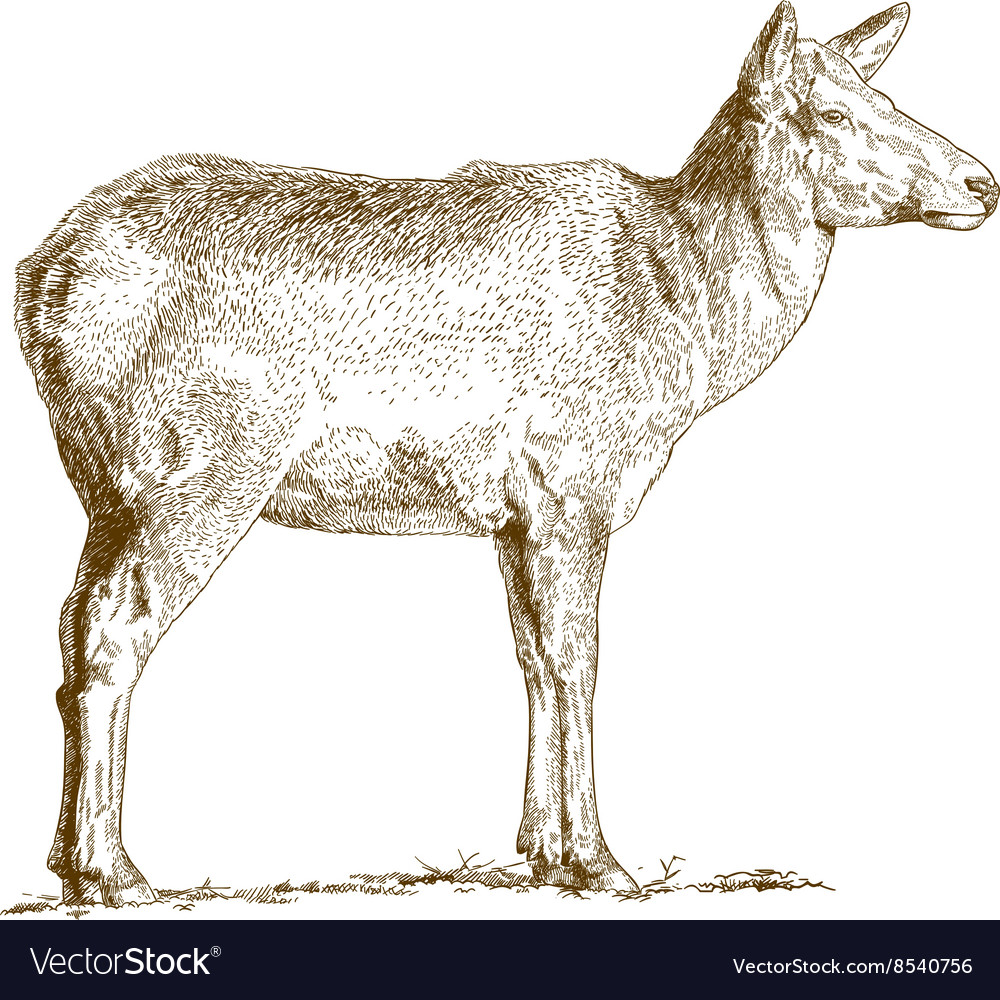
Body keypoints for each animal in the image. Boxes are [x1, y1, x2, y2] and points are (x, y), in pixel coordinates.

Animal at [15, 2, 995, 906]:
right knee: (115, 629)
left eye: (887, 94)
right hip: (200, 471)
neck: (690, 319)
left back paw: (68, 863)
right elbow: (578, 660)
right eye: (830, 111)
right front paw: (599, 861)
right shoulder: (575, 485)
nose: (982, 183)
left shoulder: (513, 515)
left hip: (106, 487)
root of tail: (39, 286)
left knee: (70, 625)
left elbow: (531, 661)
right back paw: (115, 873)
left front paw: (542, 851)